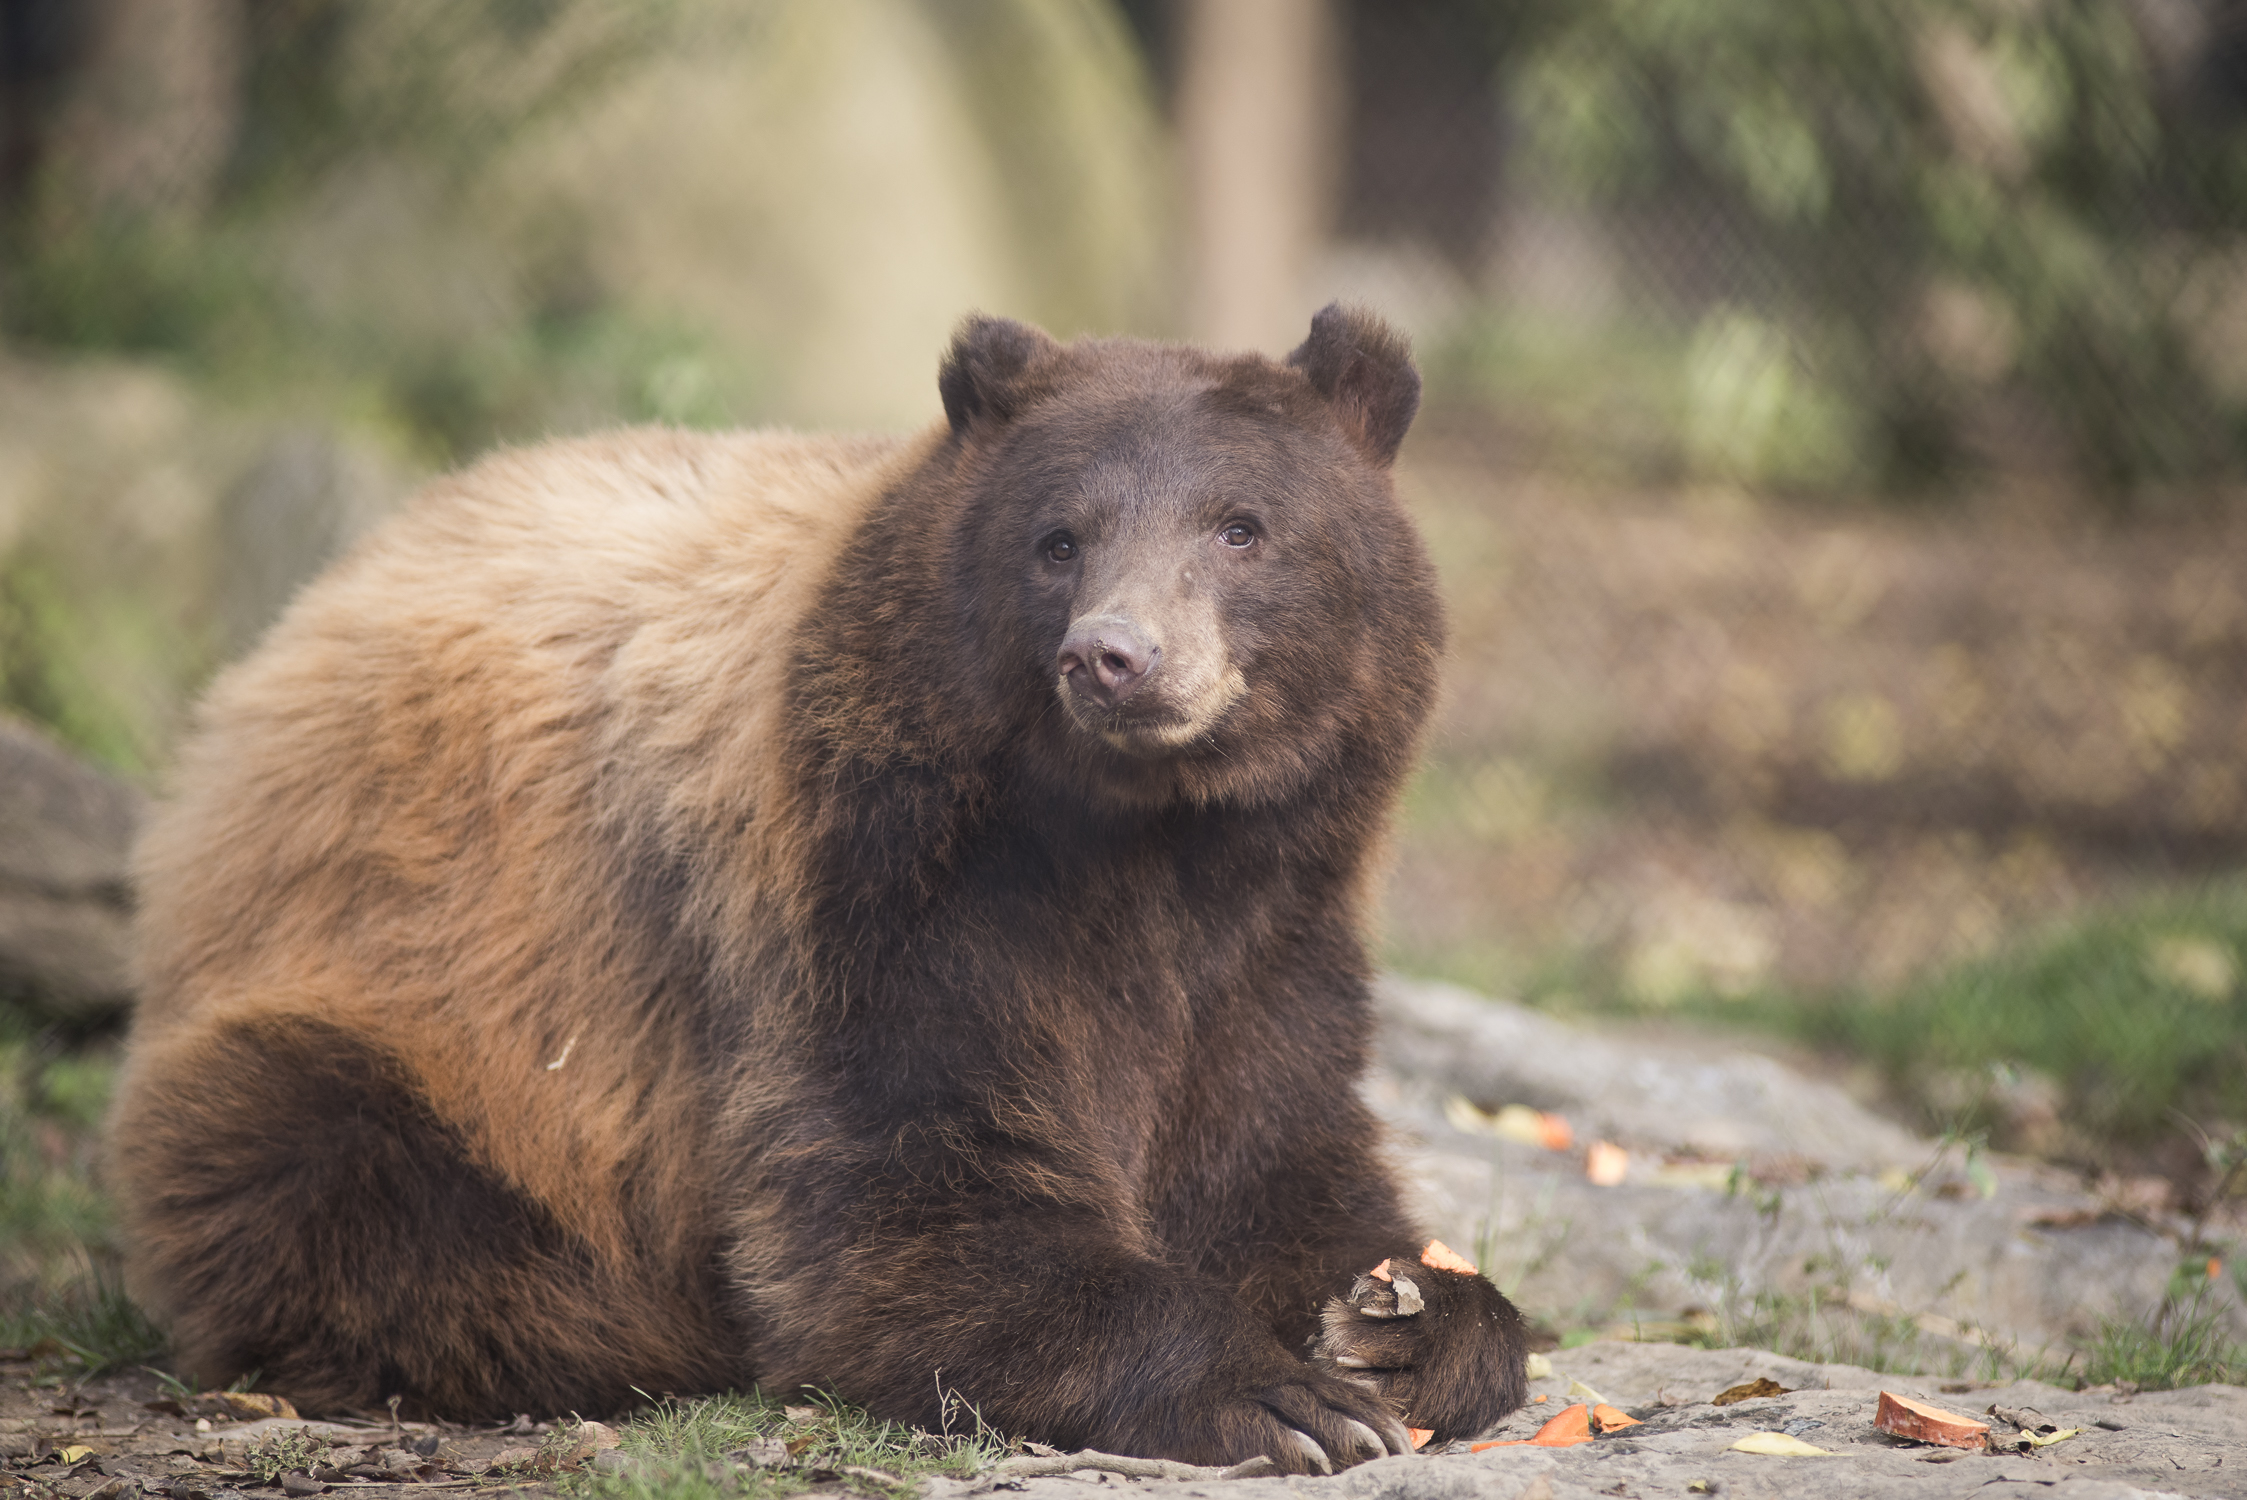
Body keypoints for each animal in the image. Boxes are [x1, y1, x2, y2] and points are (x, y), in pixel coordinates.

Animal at [107, 304, 1529, 1473]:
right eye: (1059, 538)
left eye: (1242, 526)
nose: (1115, 656)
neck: (1143, 843)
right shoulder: (881, 898)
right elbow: (910, 1201)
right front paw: (1277, 1396)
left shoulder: (1265, 929)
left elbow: (1276, 1159)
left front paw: (1398, 1320)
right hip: (408, 987)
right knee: (323, 1163)